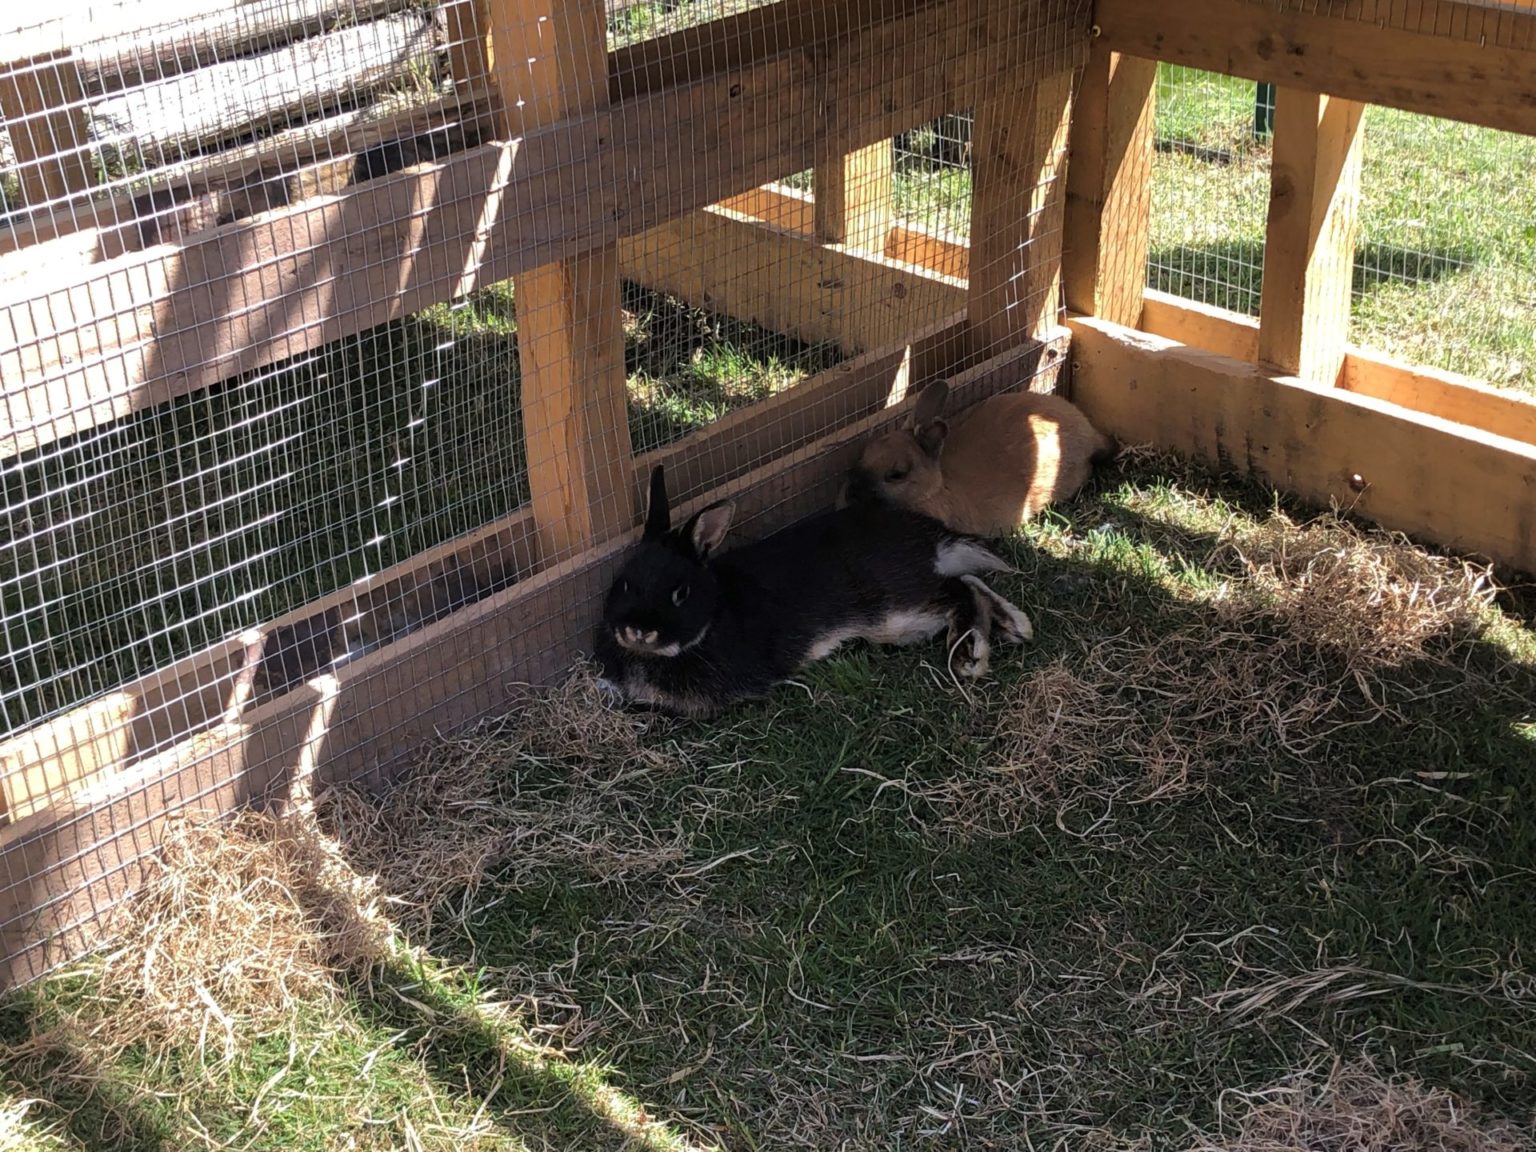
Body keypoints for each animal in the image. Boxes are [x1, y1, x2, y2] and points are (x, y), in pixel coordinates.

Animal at [592, 464, 1034, 718]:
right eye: (624, 581)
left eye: (680, 594)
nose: (637, 631)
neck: (714, 615)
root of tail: (930, 542)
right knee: (969, 582)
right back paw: (1015, 625)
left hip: (894, 612)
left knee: (957, 588)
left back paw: (970, 655)